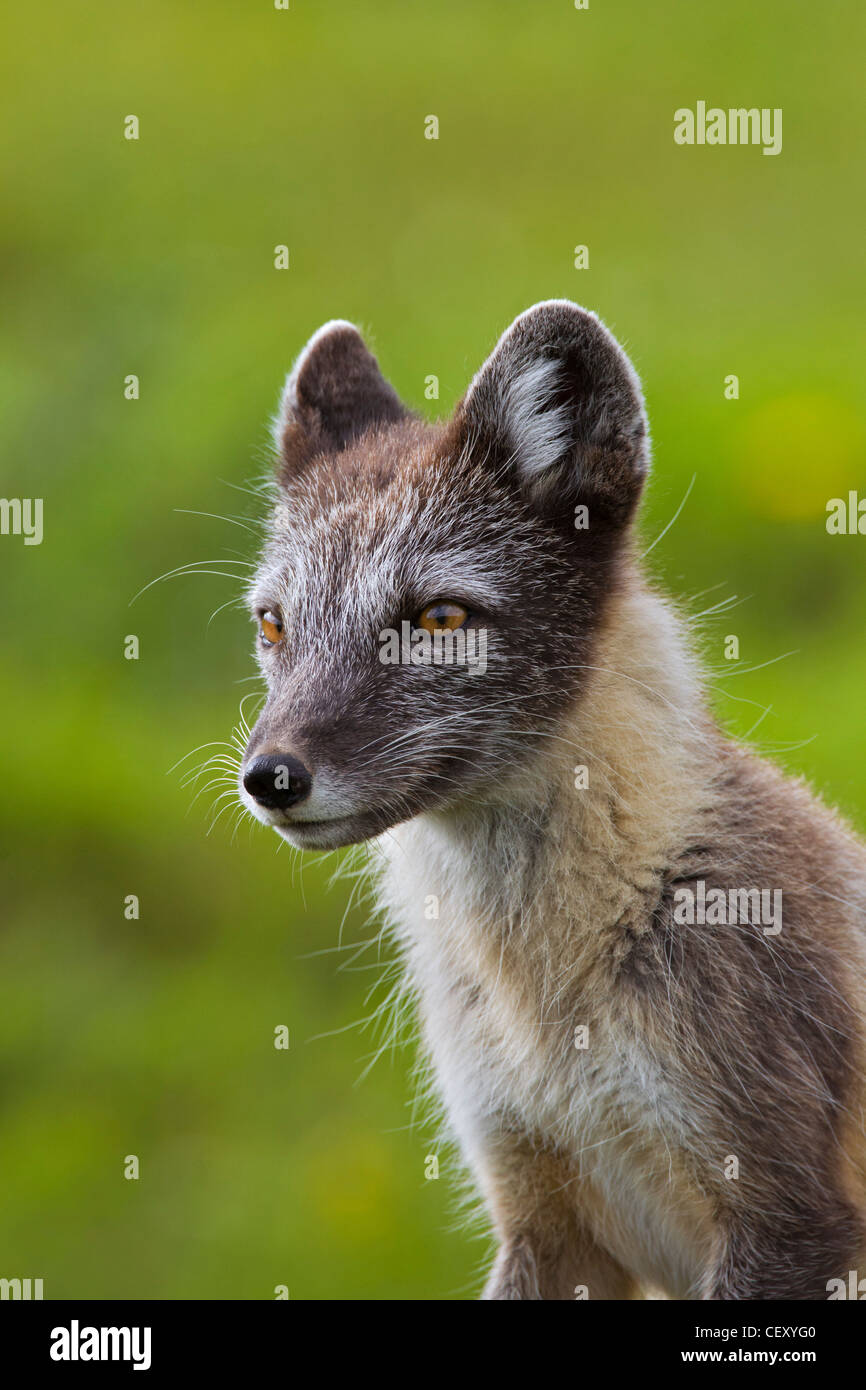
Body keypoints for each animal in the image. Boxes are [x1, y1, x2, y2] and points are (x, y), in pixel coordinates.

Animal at [237, 300, 866, 1299]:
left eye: (440, 620)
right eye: (273, 625)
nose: (271, 777)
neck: (547, 999)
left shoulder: (789, 1216)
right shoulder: (538, 1209)